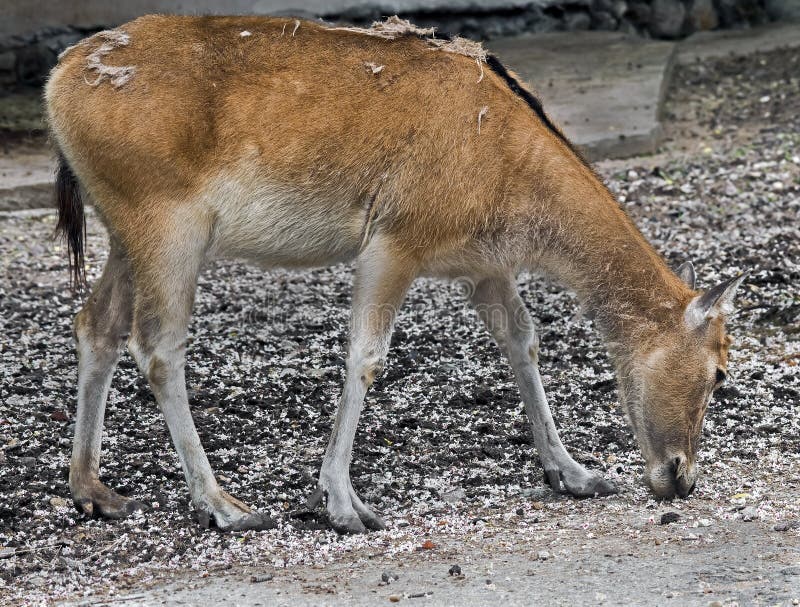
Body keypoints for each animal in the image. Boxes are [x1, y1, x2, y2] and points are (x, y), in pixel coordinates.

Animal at [45, 15, 745, 534]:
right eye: (720, 372)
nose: (681, 477)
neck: (513, 182)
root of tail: (57, 80)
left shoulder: (482, 265)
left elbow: (523, 341)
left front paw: (576, 473)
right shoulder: (394, 238)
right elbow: (366, 353)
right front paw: (343, 505)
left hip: (124, 231)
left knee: (95, 323)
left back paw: (93, 490)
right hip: (168, 225)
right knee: (157, 345)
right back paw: (226, 507)